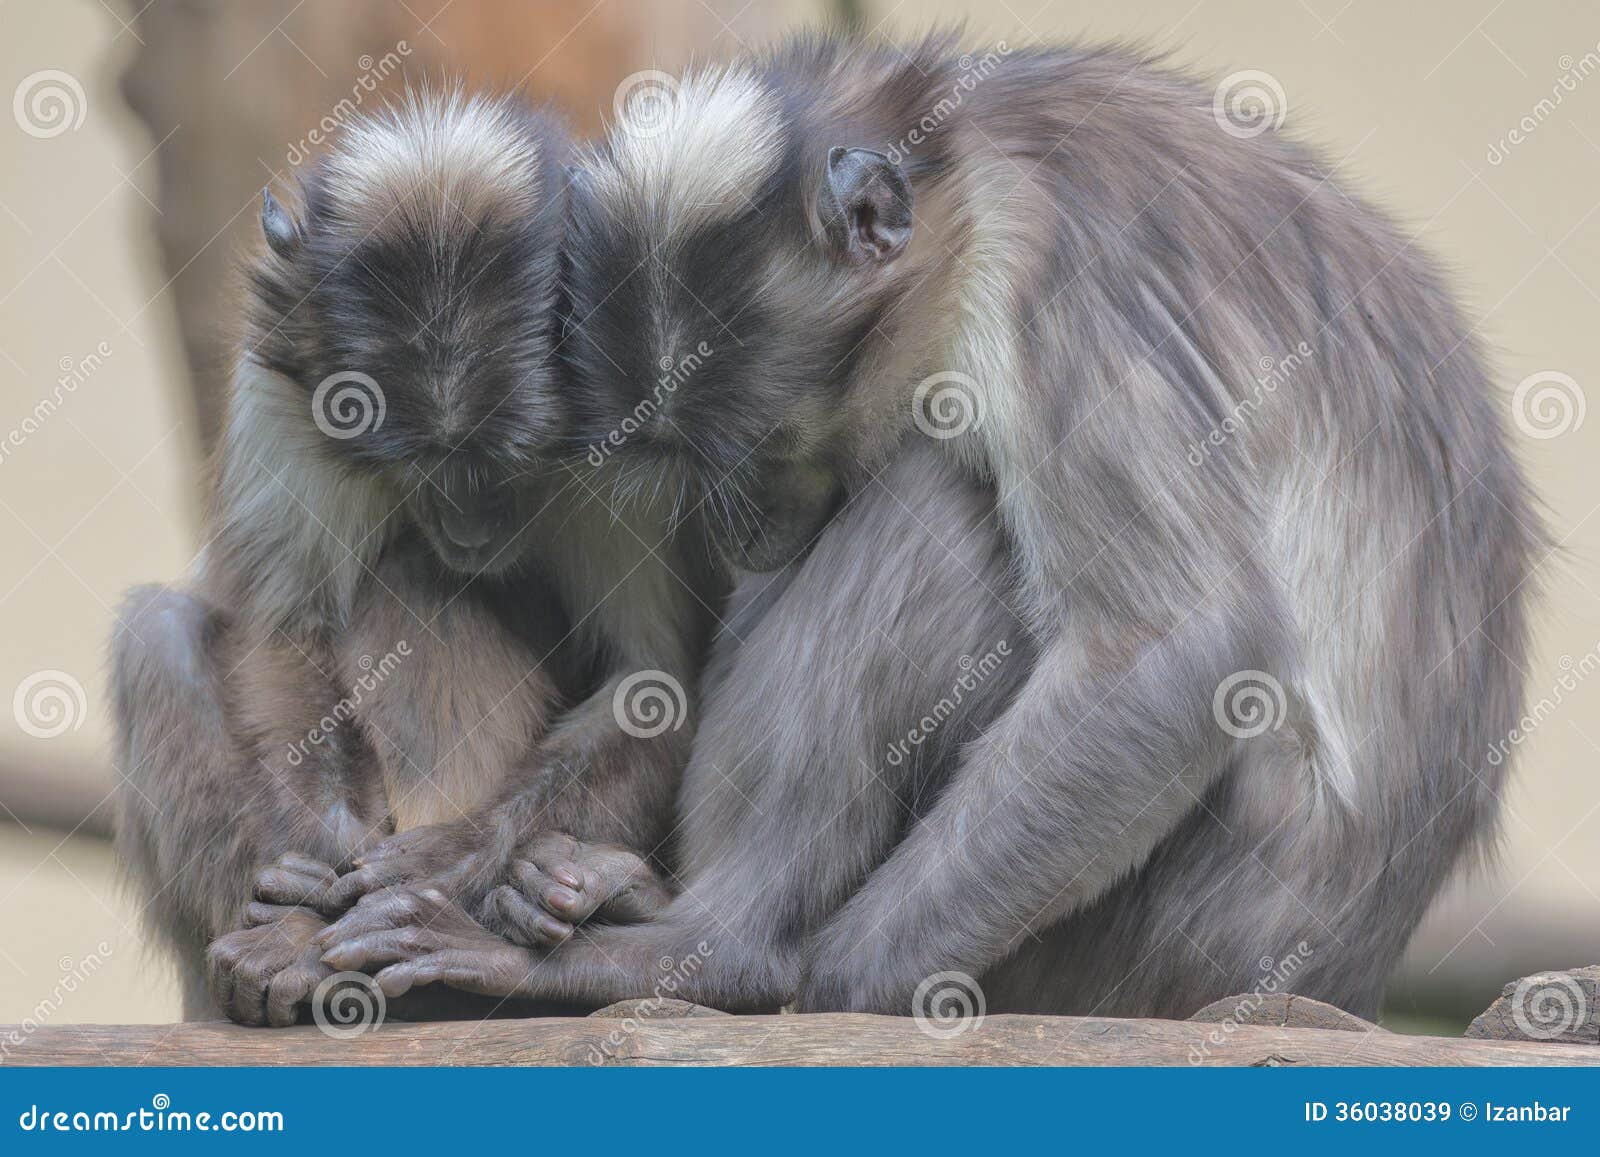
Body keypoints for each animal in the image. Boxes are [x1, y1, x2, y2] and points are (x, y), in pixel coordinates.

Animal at [111, 90, 713, 1024]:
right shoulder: (288, 365)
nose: (467, 518)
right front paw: (312, 880)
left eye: (508, 460)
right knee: (161, 631)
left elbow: (649, 680)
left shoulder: (637, 391)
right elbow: (286, 628)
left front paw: (452, 859)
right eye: (422, 459)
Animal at [316, 32, 1538, 1023]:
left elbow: (1176, 650)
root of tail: (1340, 966)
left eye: (747, 447)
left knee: (936, 503)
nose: (737, 527)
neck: (969, 167)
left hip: (1174, 929)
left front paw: (804, 973)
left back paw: (714, 944)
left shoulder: (1068, 276)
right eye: (677, 458)